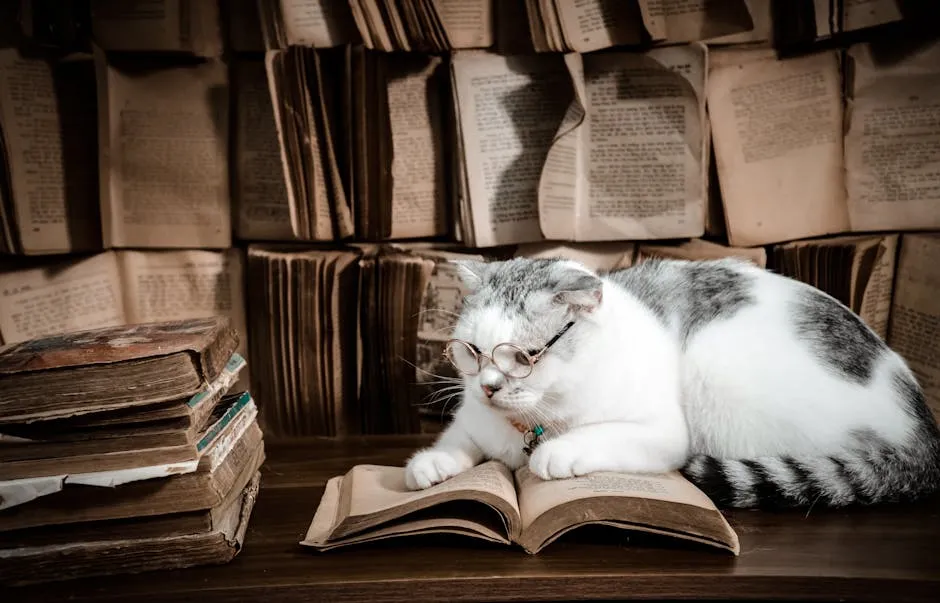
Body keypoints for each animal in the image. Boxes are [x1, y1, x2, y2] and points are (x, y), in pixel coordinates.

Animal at [402, 255, 940, 510]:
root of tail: (924, 435)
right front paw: (432, 464)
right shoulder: (475, 420)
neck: (530, 424)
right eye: (471, 352)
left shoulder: (663, 433)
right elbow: (459, 439)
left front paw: (558, 453)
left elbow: (597, 434)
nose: (489, 387)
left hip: (714, 367)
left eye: (522, 357)